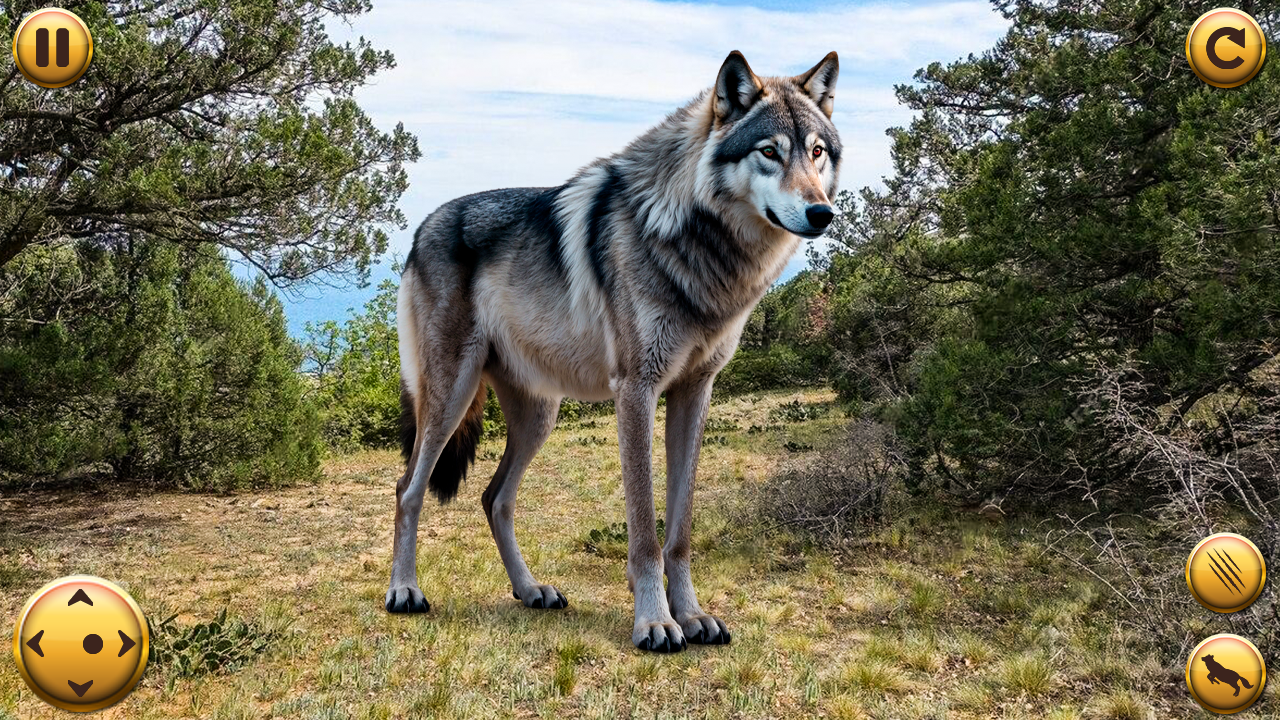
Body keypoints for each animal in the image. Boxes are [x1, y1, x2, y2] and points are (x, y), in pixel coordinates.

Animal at [388, 50, 841, 653]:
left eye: (816, 152)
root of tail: (421, 228)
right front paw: (655, 622)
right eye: (770, 152)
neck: (698, 250)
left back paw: (530, 590)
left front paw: (692, 615)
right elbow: (645, 530)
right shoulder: (636, 390)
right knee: (407, 489)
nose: (822, 213)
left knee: (494, 497)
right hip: (450, 401)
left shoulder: (695, 392)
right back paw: (404, 591)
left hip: (540, 416)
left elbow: (679, 530)